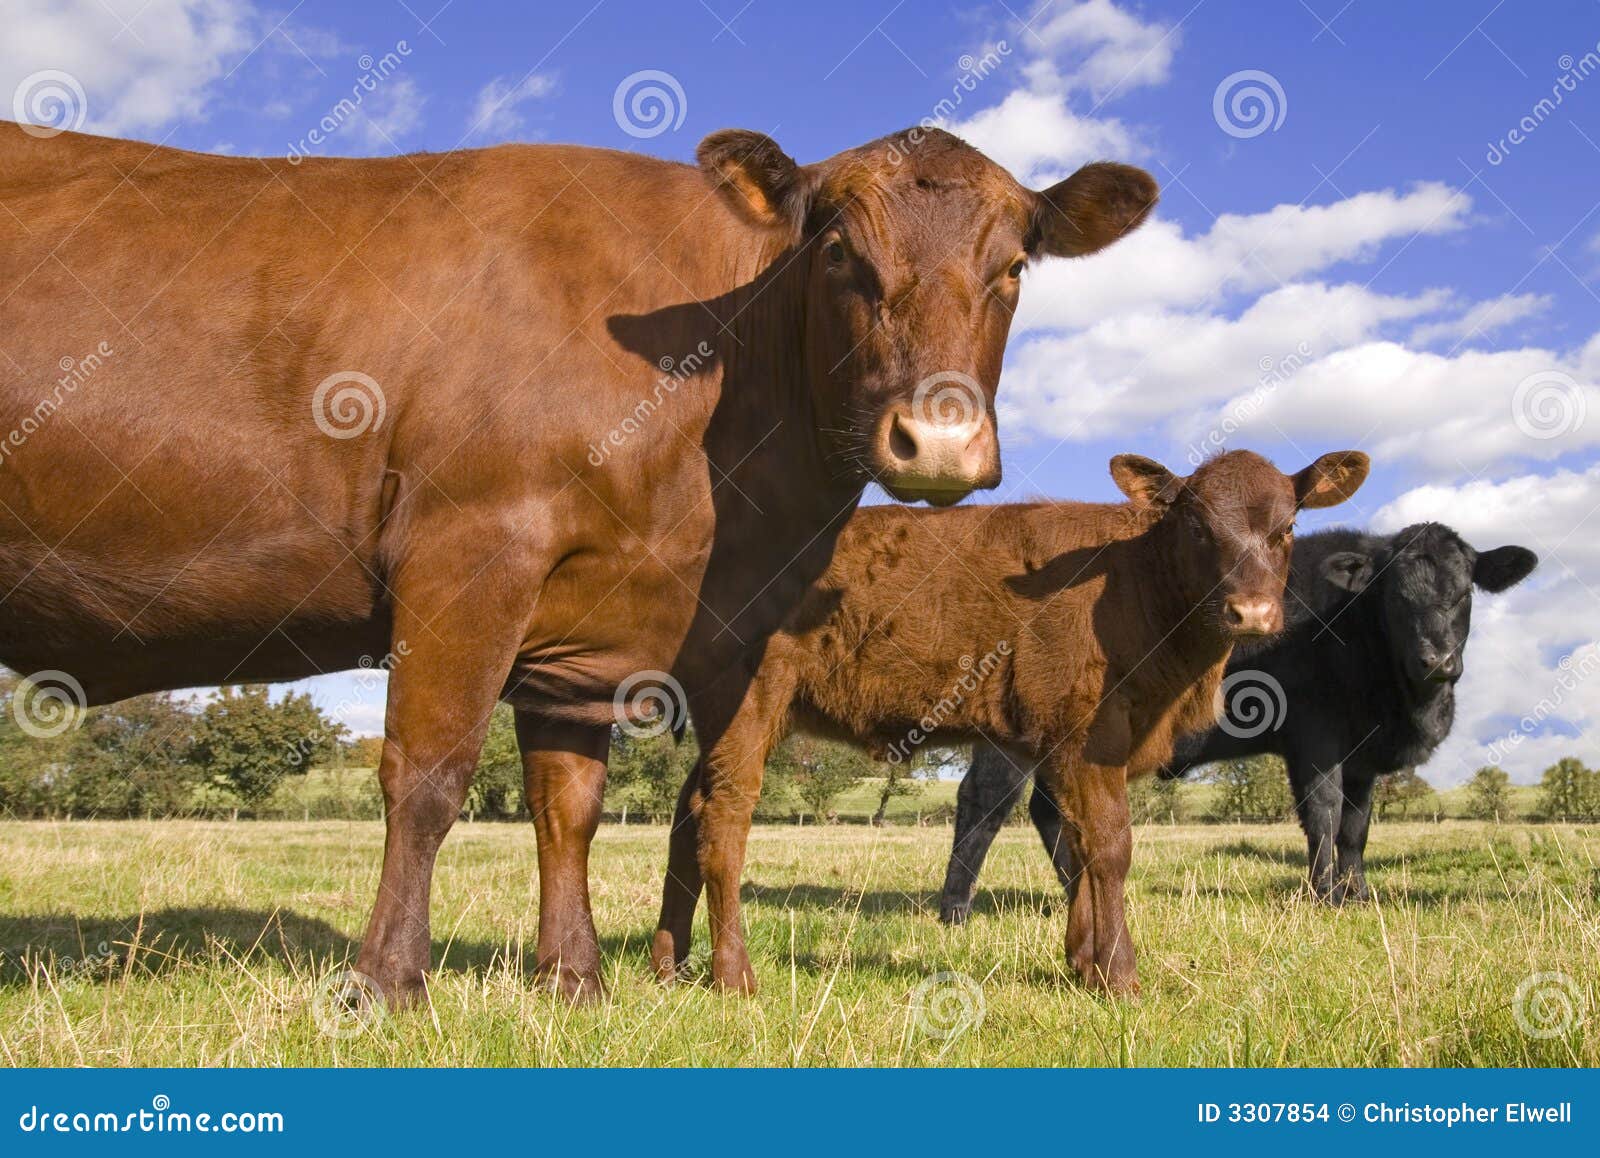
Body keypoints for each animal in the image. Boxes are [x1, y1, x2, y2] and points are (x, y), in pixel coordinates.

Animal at [0, 123, 1158, 1005]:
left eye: (1013, 267)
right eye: (838, 255)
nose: (941, 443)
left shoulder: (592, 619)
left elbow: (571, 802)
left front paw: (574, 980)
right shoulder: (471, 553)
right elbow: (429, 778)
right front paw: (386, 985)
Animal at [639, 449, 1368, 995]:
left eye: (1287, 529)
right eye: (1197, 528)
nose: (1253, 613)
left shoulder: (1066, 744)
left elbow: (1076, 844)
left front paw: (1083, 963)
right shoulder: (1086, 734)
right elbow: (1109, 845)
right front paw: (1120, 976)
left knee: (687, 814)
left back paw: (669, 965)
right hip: (748, 703)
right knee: (723, 818)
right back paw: (733, 974)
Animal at [938, 522, 1537, 919]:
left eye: (1464, 593)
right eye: (1395, 596)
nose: (1438, 660)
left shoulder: (1363, 755)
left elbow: (1356, 826)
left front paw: (1359, 895)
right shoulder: (1315, 737)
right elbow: (1323, 814)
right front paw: (1325, 896)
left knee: (1048, 809)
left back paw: (1077, 895)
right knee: (984, 801)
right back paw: (954, 909)